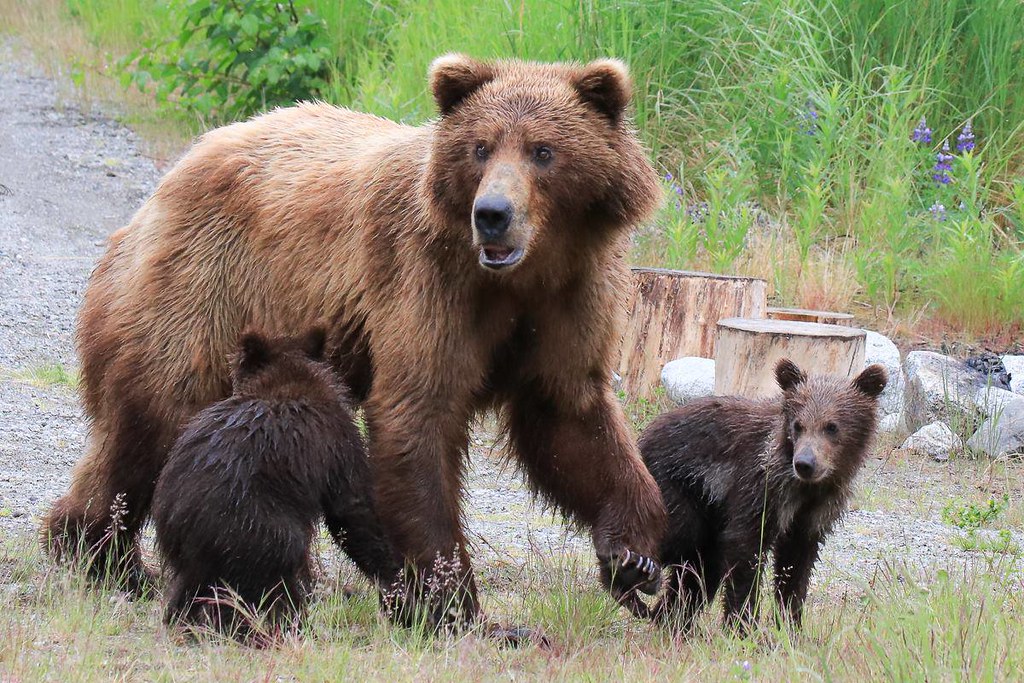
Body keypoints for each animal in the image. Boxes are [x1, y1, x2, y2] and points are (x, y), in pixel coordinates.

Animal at [151, 328, 401, 640]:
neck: (282, 386)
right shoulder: (337, 442)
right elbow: (351, 509)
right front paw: (392, 576)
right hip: (256, 525)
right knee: (275, 576)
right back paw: (287, 624)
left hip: (185, 539)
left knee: (191, 588)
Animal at [635, 359, 887, 631]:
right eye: (798, 425)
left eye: (831, 426)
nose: (805, 463)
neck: (804, 488)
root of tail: (642, 438)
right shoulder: (759, 487)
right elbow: (746, 551)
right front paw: (743, 625)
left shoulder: (815, 513)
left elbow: (796, 568)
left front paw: (790, 625)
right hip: (678, 487)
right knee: (676, 537)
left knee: (700, 569)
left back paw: (672, 621)